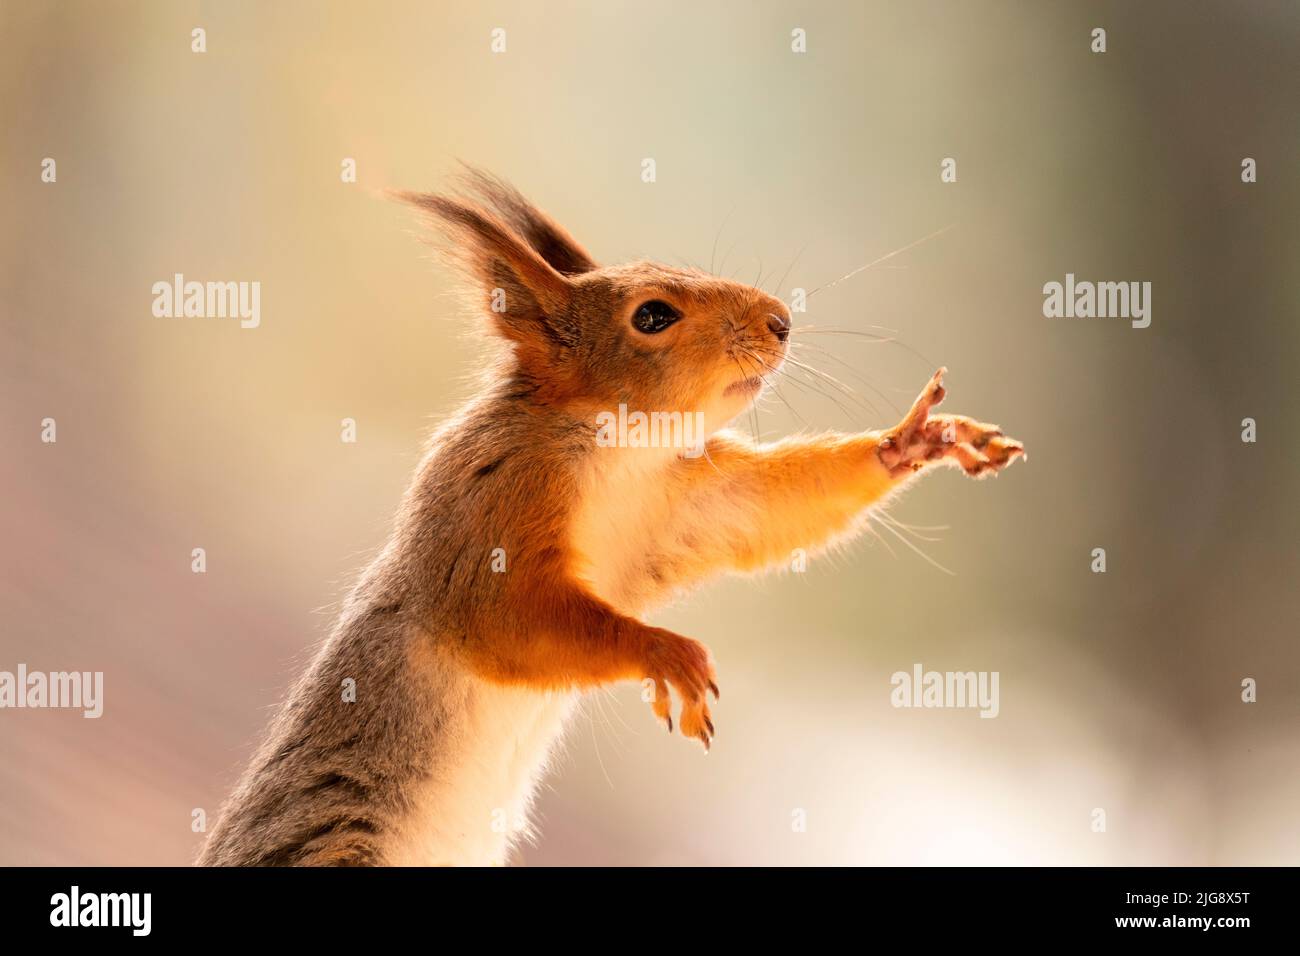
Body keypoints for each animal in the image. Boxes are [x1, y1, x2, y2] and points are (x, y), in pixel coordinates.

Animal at [197, 169, 1024, 867]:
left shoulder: (686, 501)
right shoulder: (492, 504)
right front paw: (667, 655)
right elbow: (505, 619)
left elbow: (763, 510)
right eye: (652, 315)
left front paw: (914, 441)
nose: (782, 320)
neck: (618, 449)